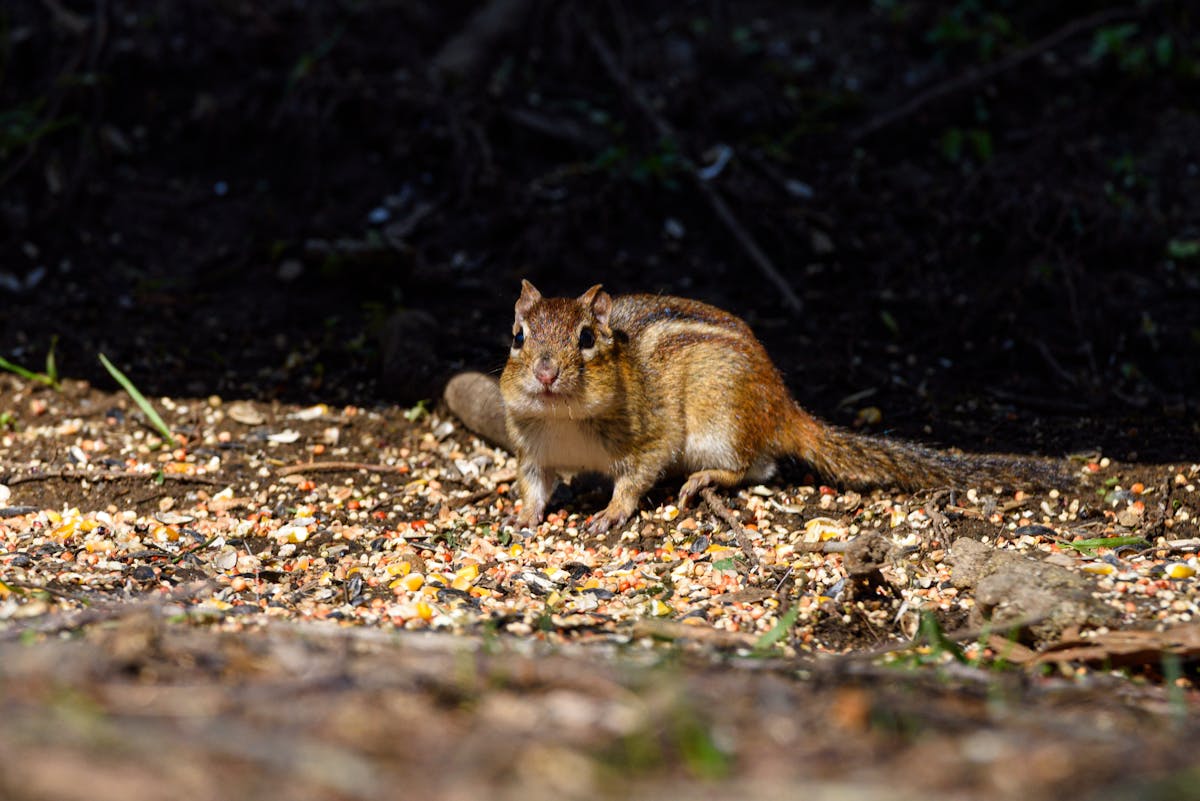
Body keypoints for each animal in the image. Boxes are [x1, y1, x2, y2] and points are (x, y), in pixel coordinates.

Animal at [453, 280, 1071, 534]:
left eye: (585, 338)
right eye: (517, 336)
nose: (546, 372)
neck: (565, 420)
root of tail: (783, 404)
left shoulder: (648, 436)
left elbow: (636, 477)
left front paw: (610, 512)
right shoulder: (533, 450)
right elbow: (534, 485)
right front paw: (522, 516)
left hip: (720, 424)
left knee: (752, 467)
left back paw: (702, 480)